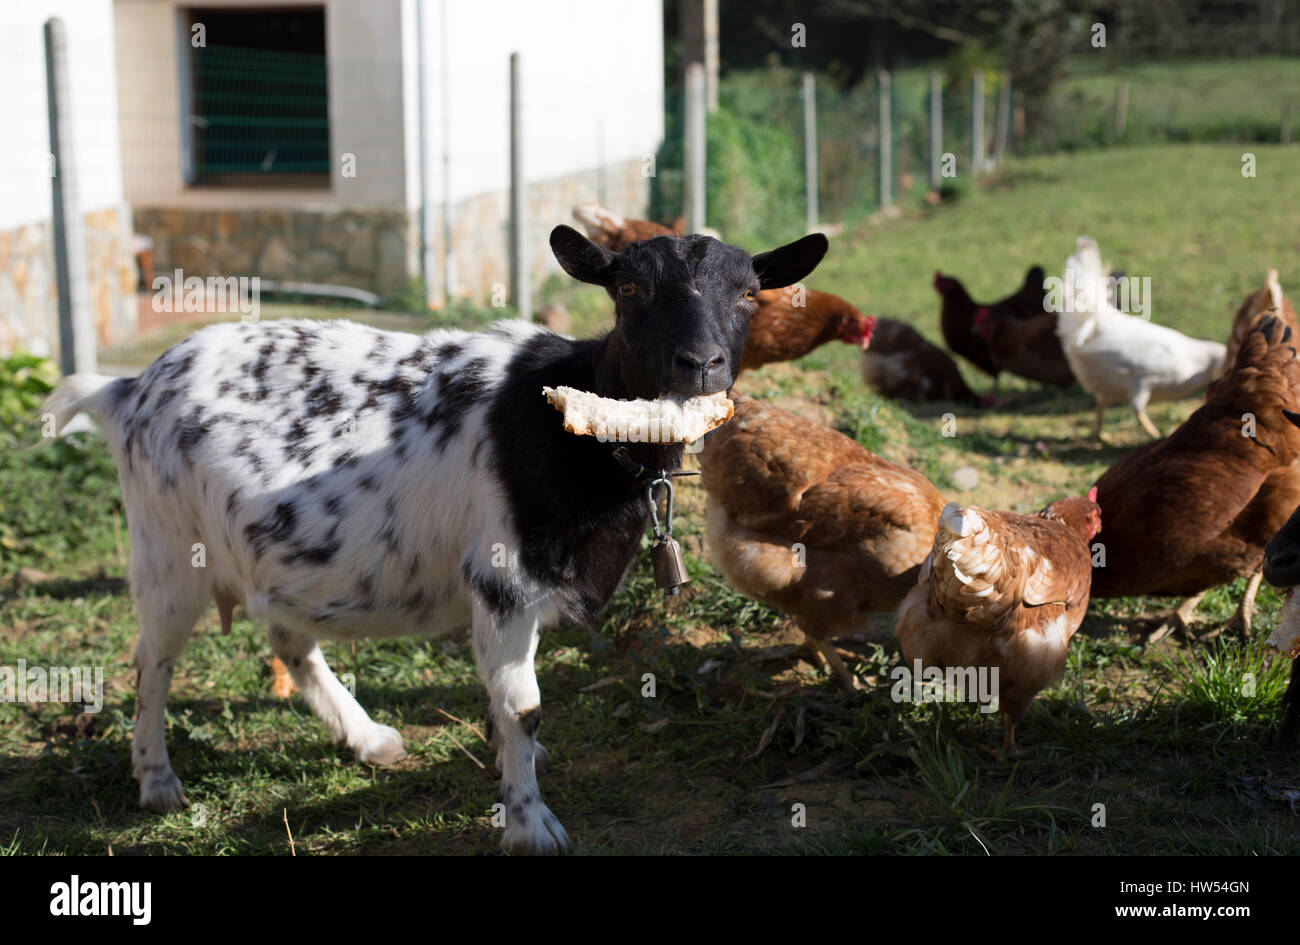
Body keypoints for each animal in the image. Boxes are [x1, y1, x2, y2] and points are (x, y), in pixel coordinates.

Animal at [43, 224, 828, 854]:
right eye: (629, 287)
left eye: (750, 293)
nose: (700, 364)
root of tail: (128, 389)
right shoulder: (503, 581)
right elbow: (524, 705)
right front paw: (531, 825)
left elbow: (510, 708)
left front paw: (512, 774)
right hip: (168, 549)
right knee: (151, 661)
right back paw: (157, 780)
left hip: (272, 555)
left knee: (290, 643)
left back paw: (367, 738)